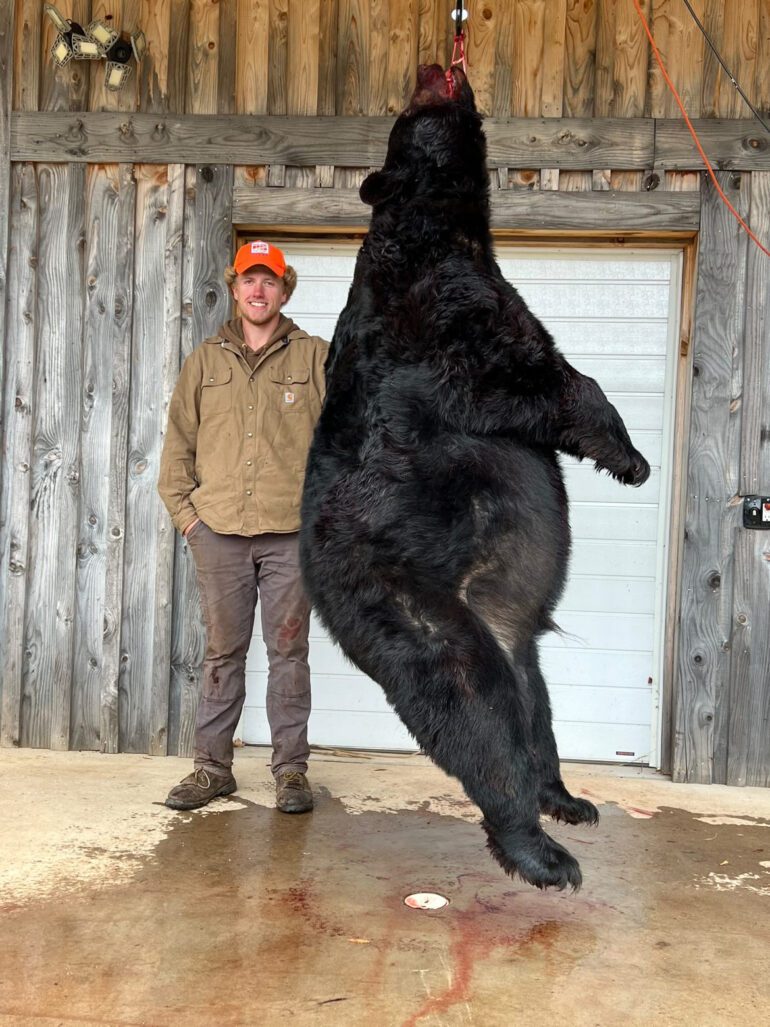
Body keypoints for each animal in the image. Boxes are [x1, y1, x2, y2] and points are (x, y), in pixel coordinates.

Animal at [299, 63, 650, 891]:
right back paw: (541, 851)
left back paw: (566, 799)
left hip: (521, 653)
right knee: (479, 722)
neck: (441, 226)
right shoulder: (444, 317)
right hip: (421, 611)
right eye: (411, 115)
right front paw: (629, 457)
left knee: (535, 717)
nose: (433, 67)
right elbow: (537, 378)